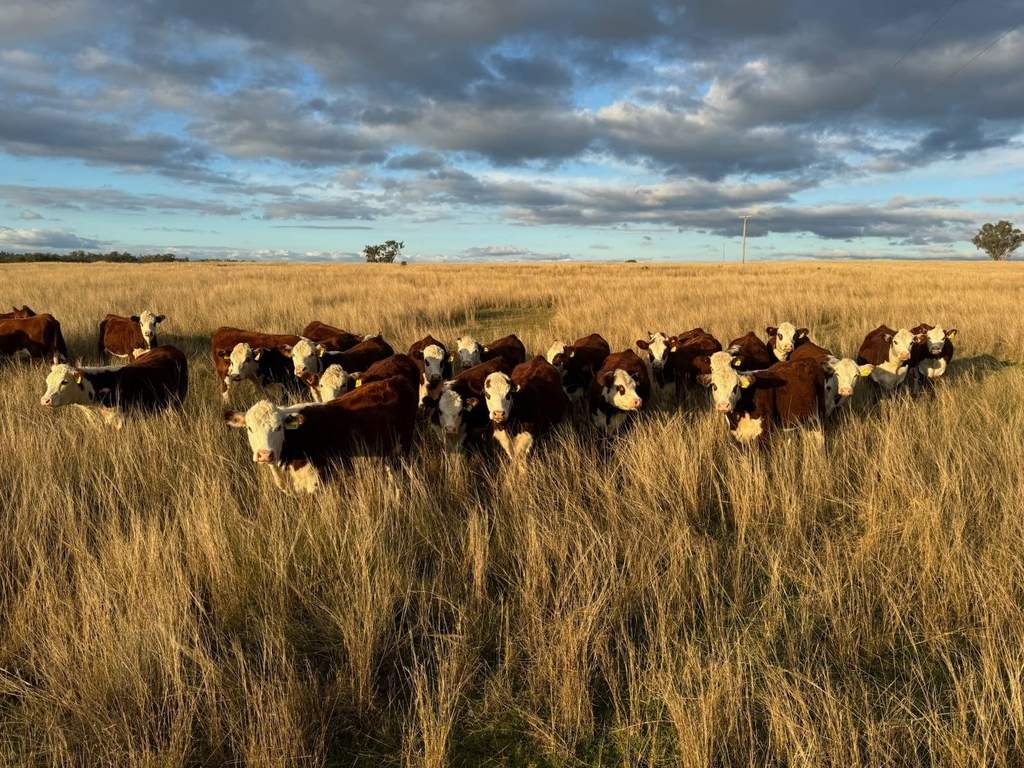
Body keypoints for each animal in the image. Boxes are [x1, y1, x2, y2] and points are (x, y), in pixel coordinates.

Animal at [39, 346, 188, 428]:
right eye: (47, 382)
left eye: (64, 382)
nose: (45, 400)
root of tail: (170, 348)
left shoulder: (121, 421)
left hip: (176, 402)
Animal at [224, 376, 418, 494]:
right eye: (249, 428)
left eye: (279, 427)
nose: (265, 454)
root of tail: (394, 380)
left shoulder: (317, 483)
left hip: (403, 450)